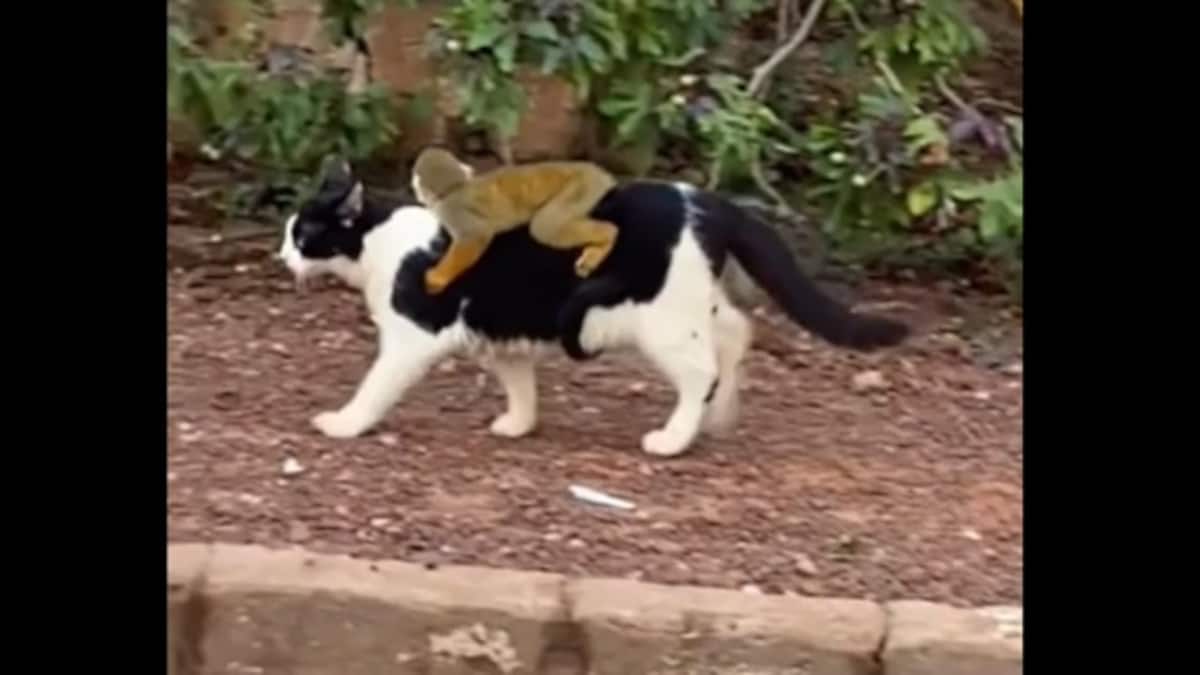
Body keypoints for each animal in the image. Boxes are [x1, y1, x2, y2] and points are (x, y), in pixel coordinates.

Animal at [411, 147, 620, 295]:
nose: (417, 193)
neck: (452, 189)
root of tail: (598, 171)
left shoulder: (452, 210)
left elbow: (476, 236)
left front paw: (437, 278)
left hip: (582, 185)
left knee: (545, 226)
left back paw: (608, 234)